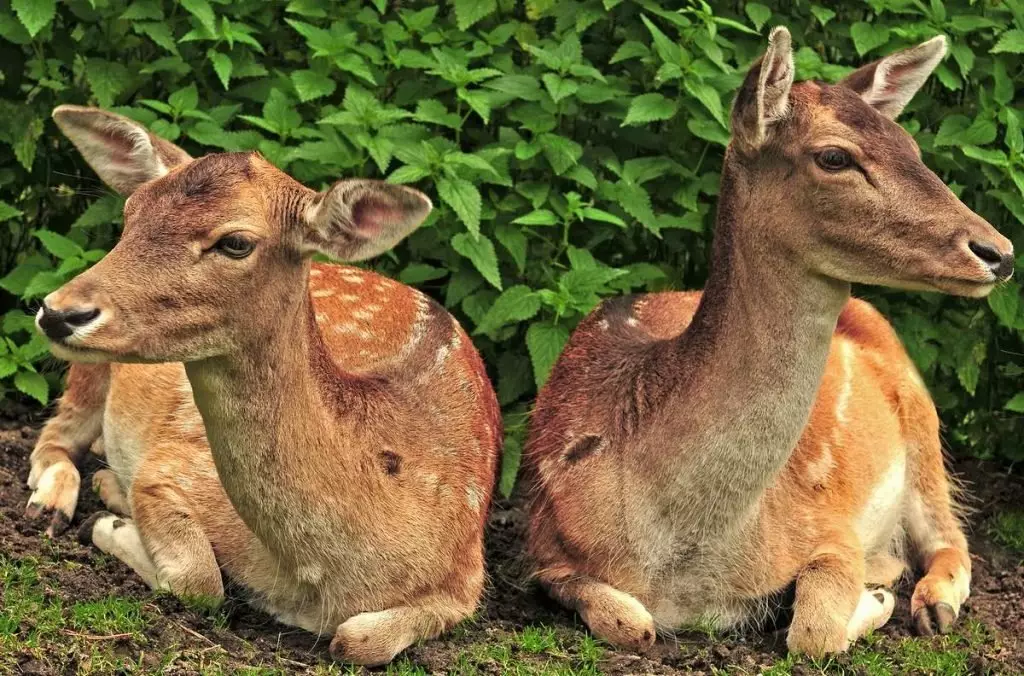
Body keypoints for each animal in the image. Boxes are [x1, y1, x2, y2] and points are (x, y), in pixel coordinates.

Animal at [27, 105, 499, 663]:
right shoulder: (170, 466)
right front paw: (107, 521)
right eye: (130, 213)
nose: (58, 311)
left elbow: (359, 639)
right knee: (55, 434)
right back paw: (57, 502)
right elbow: (199, 580)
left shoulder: (468, 577)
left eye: (236, 242)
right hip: (93, 372)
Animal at [524, 29, 1011, 655]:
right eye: (834, 156)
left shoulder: (827, 524)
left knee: (952, 538)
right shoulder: (544, 543)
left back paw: (929, 602)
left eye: (911, 145)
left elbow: (814, 631)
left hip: (923, 423)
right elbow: (630, 623)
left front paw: (874, 598)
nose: (998, 251)